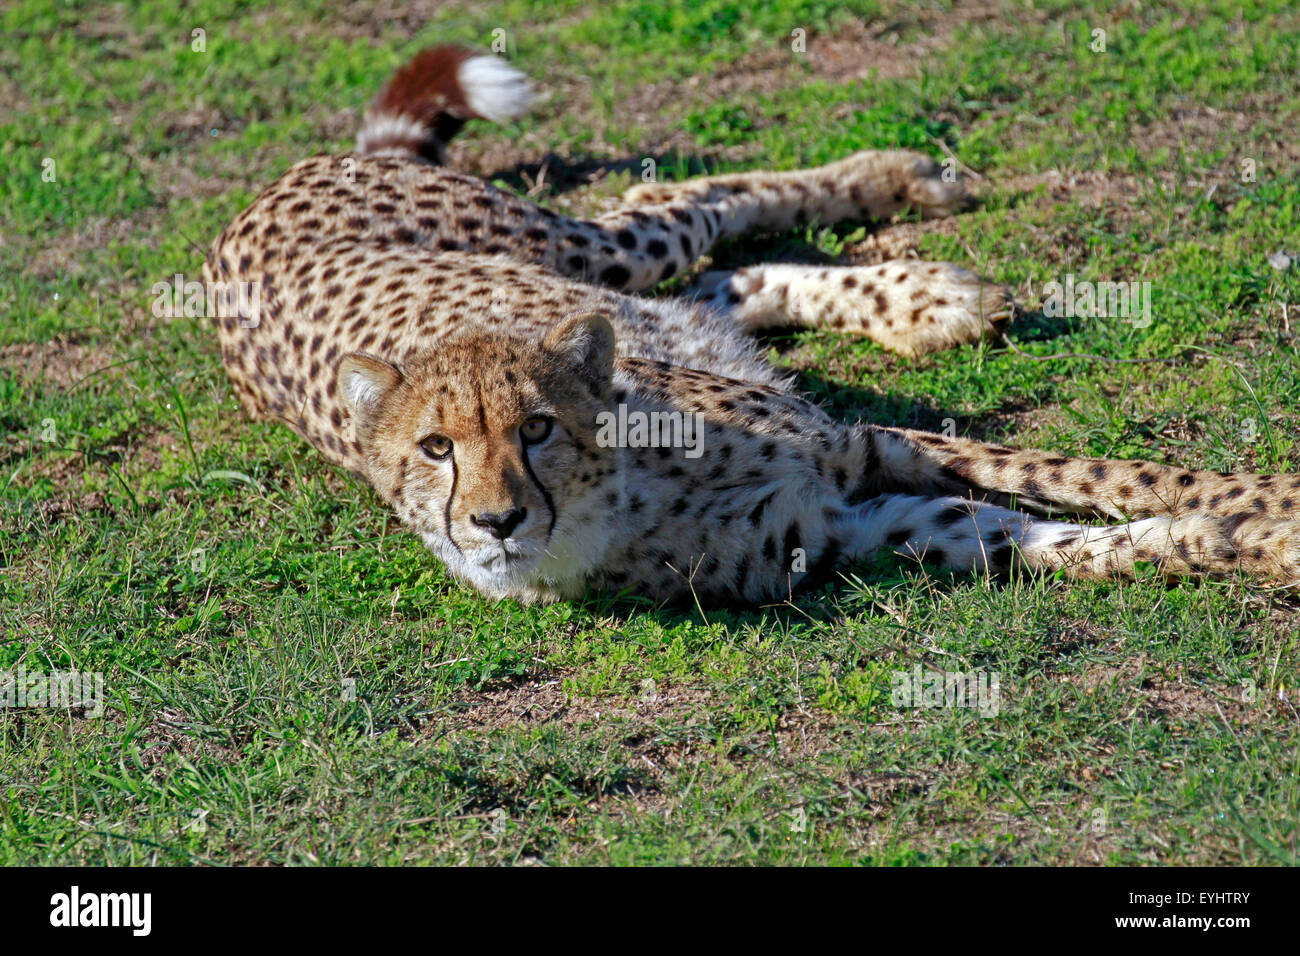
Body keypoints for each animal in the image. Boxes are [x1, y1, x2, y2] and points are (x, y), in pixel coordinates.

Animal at [205, 45, 1300, 606]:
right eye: (434, 449)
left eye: (537, 428)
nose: (494, 522)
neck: (629, 496)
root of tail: (242, 218)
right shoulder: (853, 525)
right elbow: (1077, 538)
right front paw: (1243, 542)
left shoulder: (864, 446)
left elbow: (1118, 479)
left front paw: (1267, 508)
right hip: (613, 285)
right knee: (716, 284)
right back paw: (921, 298)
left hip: (588, 248)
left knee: (688, 203)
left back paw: (898, 183)